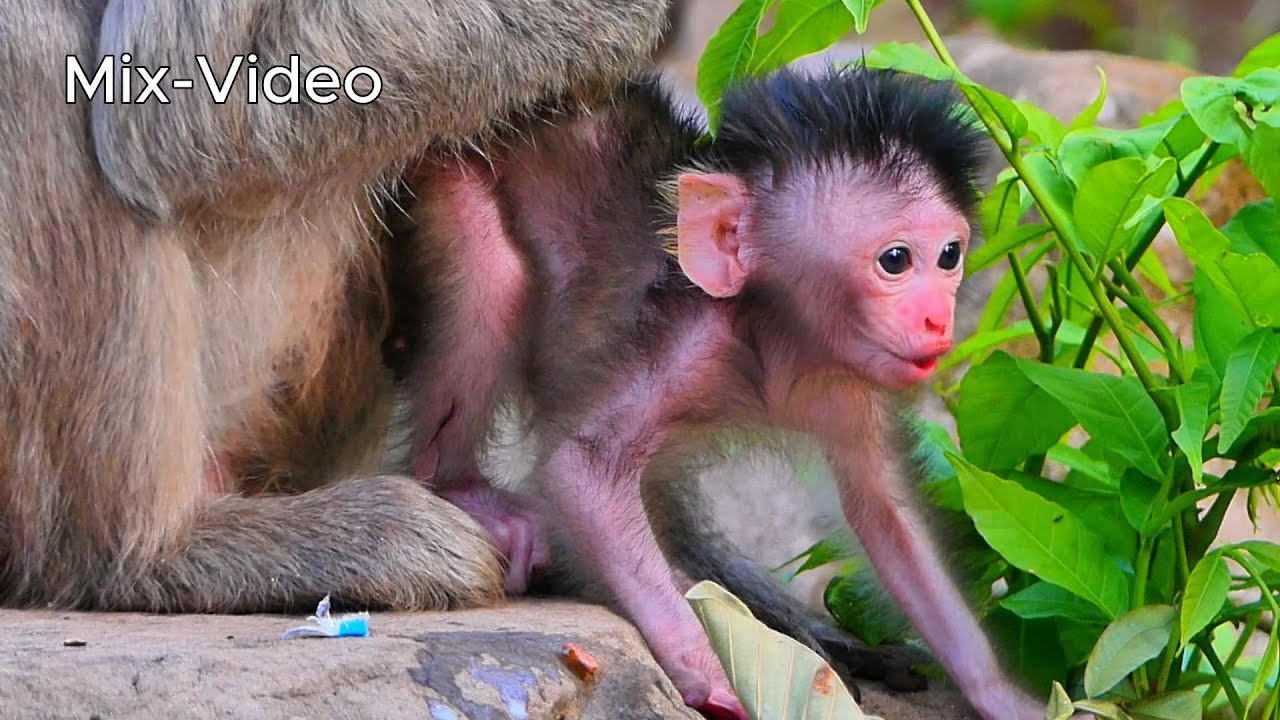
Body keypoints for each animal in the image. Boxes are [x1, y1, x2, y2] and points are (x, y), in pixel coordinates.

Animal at [391, 66, 1052, 720]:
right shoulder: (692, 343)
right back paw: (467, 492)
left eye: (949, 255)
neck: (776, 343)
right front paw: (712, 674)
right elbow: (585, 470)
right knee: (492, 266)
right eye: (895, 260)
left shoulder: (845, 386)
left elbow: (887, 517)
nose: (939, 319)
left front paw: (1002, 695)